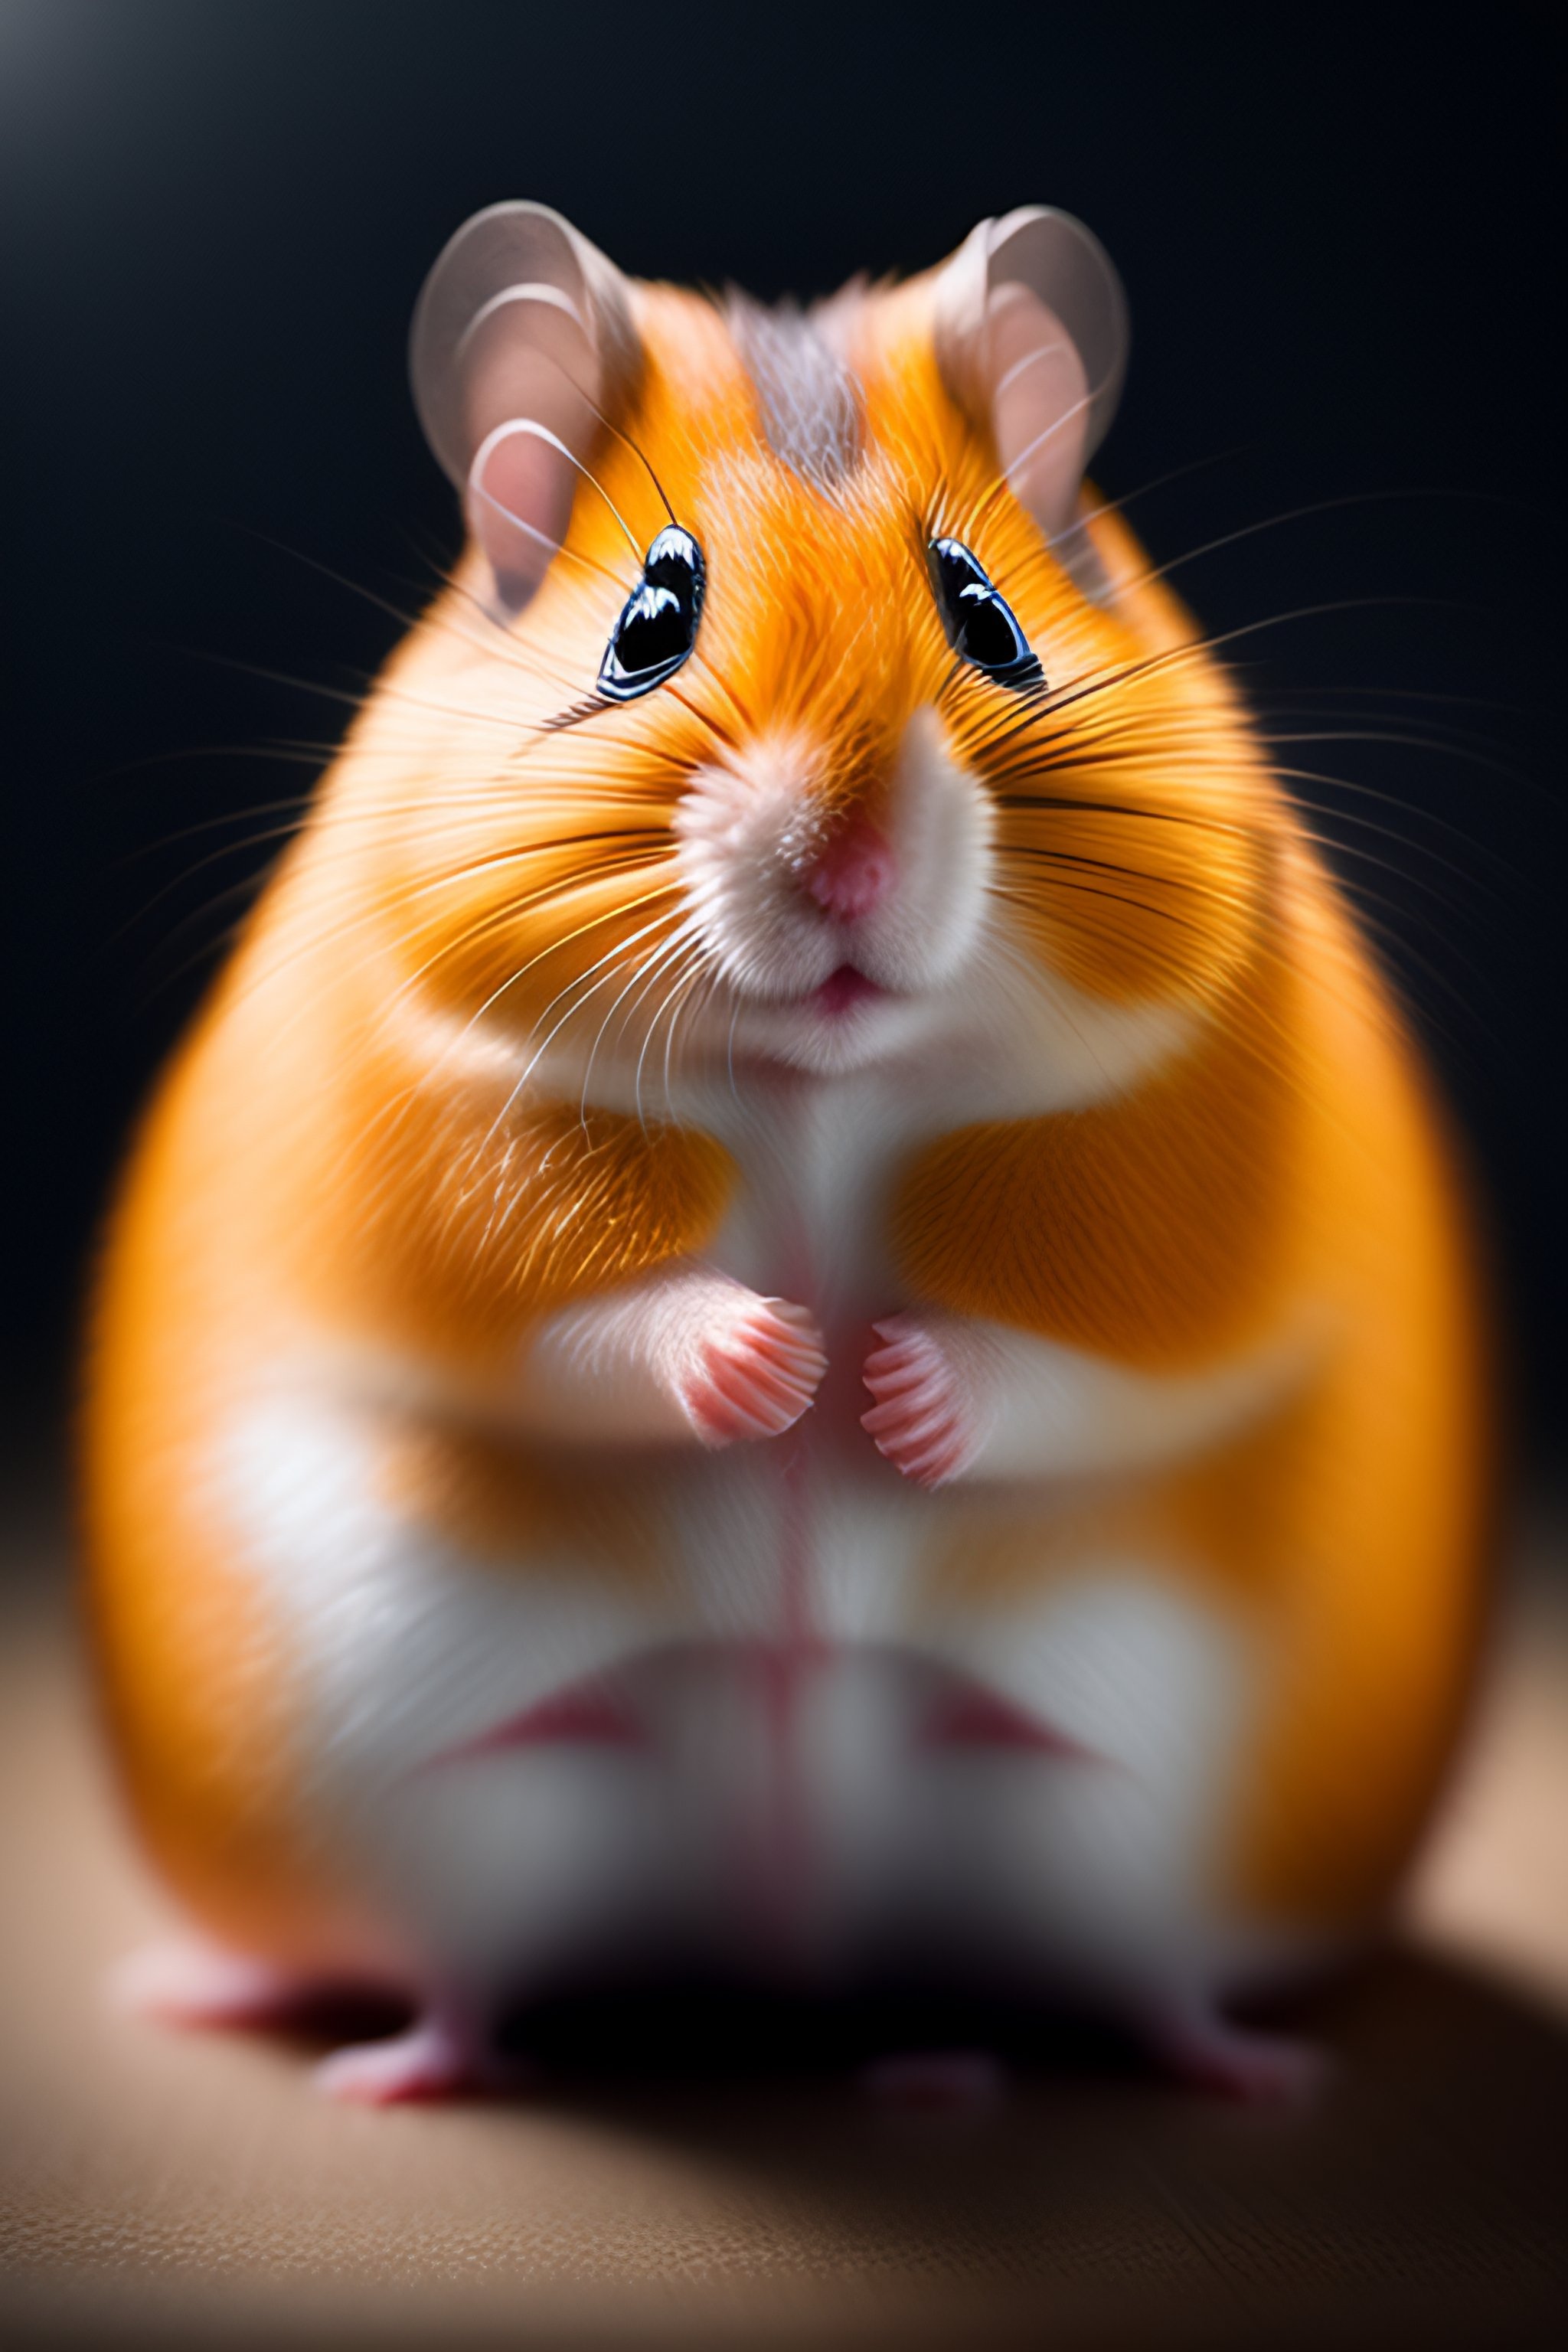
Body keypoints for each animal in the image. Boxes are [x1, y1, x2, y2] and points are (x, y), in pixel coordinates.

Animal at [83, 202, 1491, 2103]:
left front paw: (883, 1390)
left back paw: (1131, 2077)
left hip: (1104, 1832)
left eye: (986, 616)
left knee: (1137, 1984)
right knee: (453, 1971)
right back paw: (327, 2048)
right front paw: (781, 1365)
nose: (850, 870)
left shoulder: (1173, 1224)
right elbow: (588, 1323)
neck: (821, 1086)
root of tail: (782, 1947)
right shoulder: (441, 1192)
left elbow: (1066, 1361)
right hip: (437, 1804)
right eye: (647, 620)